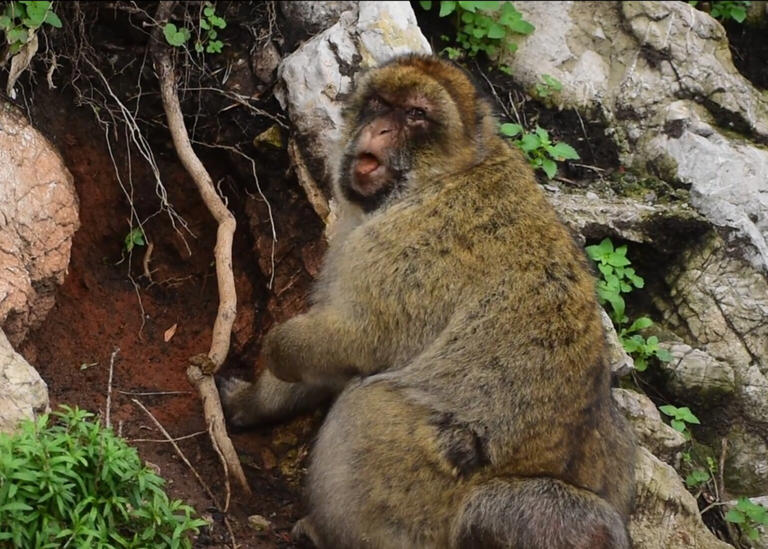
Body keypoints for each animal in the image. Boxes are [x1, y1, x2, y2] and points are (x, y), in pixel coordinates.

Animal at [220, 54, 636, 548]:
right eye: (380, 103)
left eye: (415, 114)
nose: (378, 129)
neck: (448, 173)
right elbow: (332, 364)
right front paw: (252, 402)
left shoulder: (409, 244)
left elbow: (356, 342)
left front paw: (278, 350)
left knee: (370, 403)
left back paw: (327, 533)